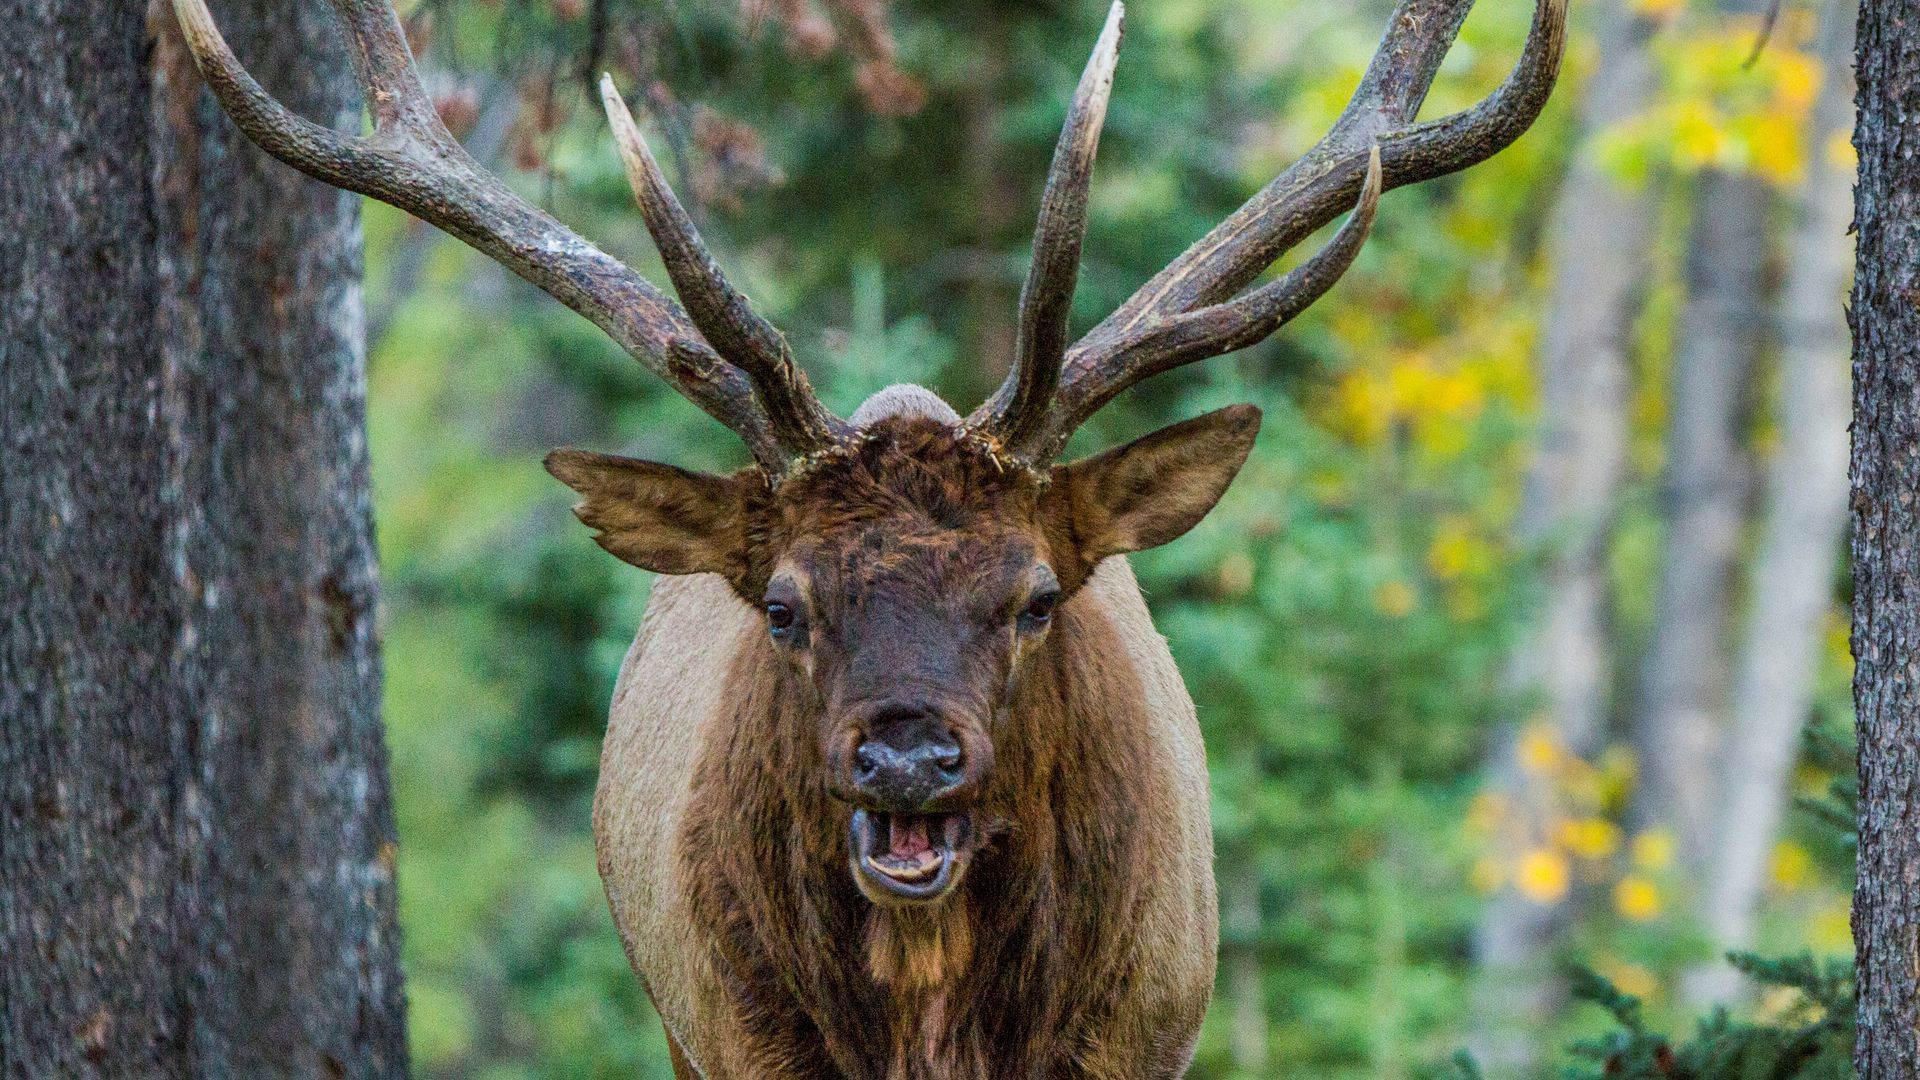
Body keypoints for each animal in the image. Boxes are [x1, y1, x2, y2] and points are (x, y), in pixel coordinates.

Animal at [171, 0, 1564, 1074]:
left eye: (1037, 597)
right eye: (785, 605)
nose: (905, 759)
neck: (933, 1024)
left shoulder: (1148, 1032)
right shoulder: (735, 1038)